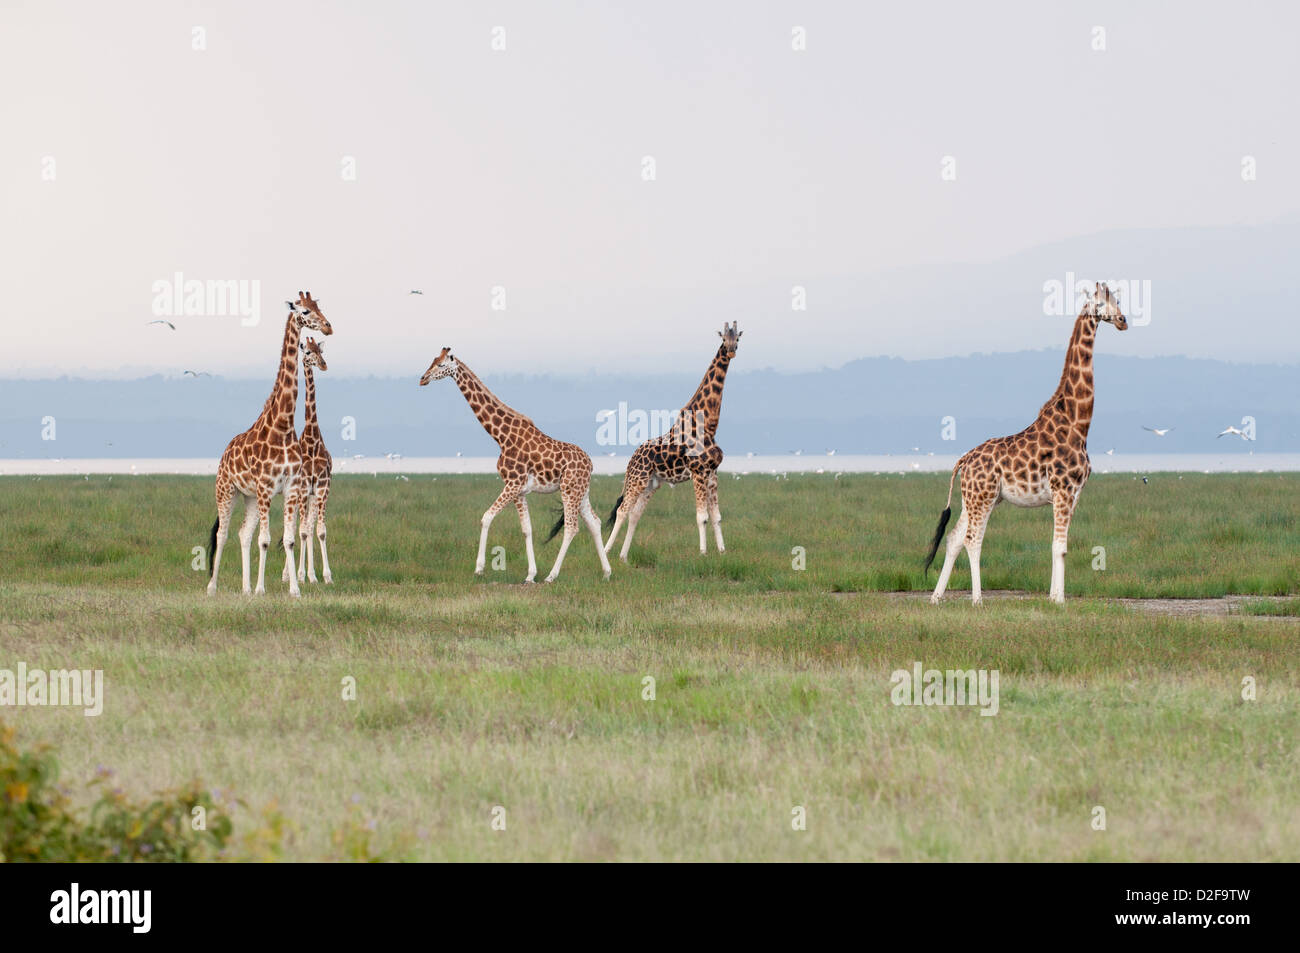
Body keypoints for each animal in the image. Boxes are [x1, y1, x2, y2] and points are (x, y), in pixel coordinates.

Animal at [207, 292, 333, 596]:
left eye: (319, 306)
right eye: (304, 310)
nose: (328, 326)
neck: (283, 427)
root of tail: (224, 453)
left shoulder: (292, 488)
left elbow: (289, 538)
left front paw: (295, 588)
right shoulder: (267, 489)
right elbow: (265, 540)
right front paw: (264, 588)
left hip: (250, 497)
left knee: (243, 533)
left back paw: (245, 588)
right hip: (226, 491)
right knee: (223, 534)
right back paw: (212, 587)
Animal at [419, 348, 612, 583]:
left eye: (440, 365)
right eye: (432, 360)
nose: (422, 379)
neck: (501, 437)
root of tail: (590, 463)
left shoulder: (512, 483)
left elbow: (486, 517)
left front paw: (479, 568)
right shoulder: (519, 490)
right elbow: (527, 529)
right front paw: (530, 574)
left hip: (569, 489)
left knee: (572, 527)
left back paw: (552, 575)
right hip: (582, 491)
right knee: (594, 522)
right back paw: (606, 572)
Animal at [604, 322, 741, 562]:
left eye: (738, 339)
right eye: (723, 339)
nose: (731, 350)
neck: (709, 425)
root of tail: (632, 458)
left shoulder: (712, 473)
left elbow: (716, 516)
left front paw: (722, 551)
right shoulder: (698, 472)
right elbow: (702, 516)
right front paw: (703, 552)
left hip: (652, 483)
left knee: (635, 514)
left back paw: (623, 556)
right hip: (637, 479)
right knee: (622, 510)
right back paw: (605, 552)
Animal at [924, 283, 1128, 605]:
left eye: (1117, 299)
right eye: (1099, 302)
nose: (1122, 321)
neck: (1079, 423)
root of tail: (964, 460)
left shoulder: (1074, 494)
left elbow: (1059, 545)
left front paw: (1053, 598)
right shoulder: (1063, 490)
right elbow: (1060, 547)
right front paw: (1059, 600)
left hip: (977, 497)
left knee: (955, 537)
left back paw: (936, 597)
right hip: (982, 497)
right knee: (973, 540)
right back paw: (977, 599)